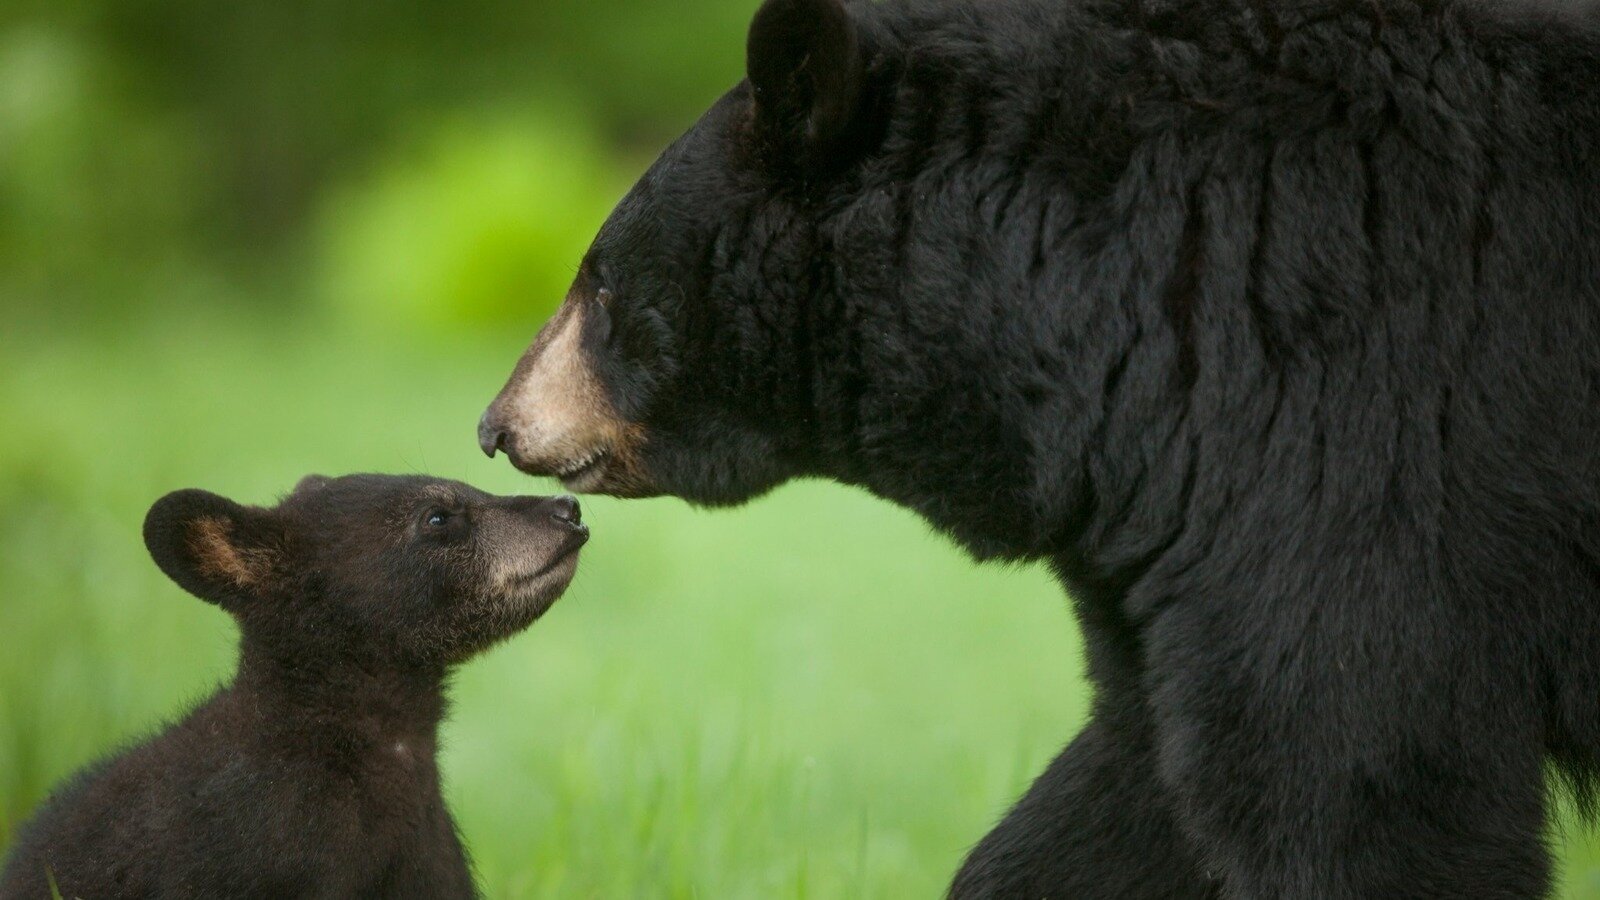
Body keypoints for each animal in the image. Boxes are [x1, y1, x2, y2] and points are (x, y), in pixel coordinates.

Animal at [477, 0, 1600, 895]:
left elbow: (1354, 774)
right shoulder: (1182, 530)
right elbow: (1130, 781)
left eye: (603, 282)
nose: (497, 423)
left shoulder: (1356, 450)